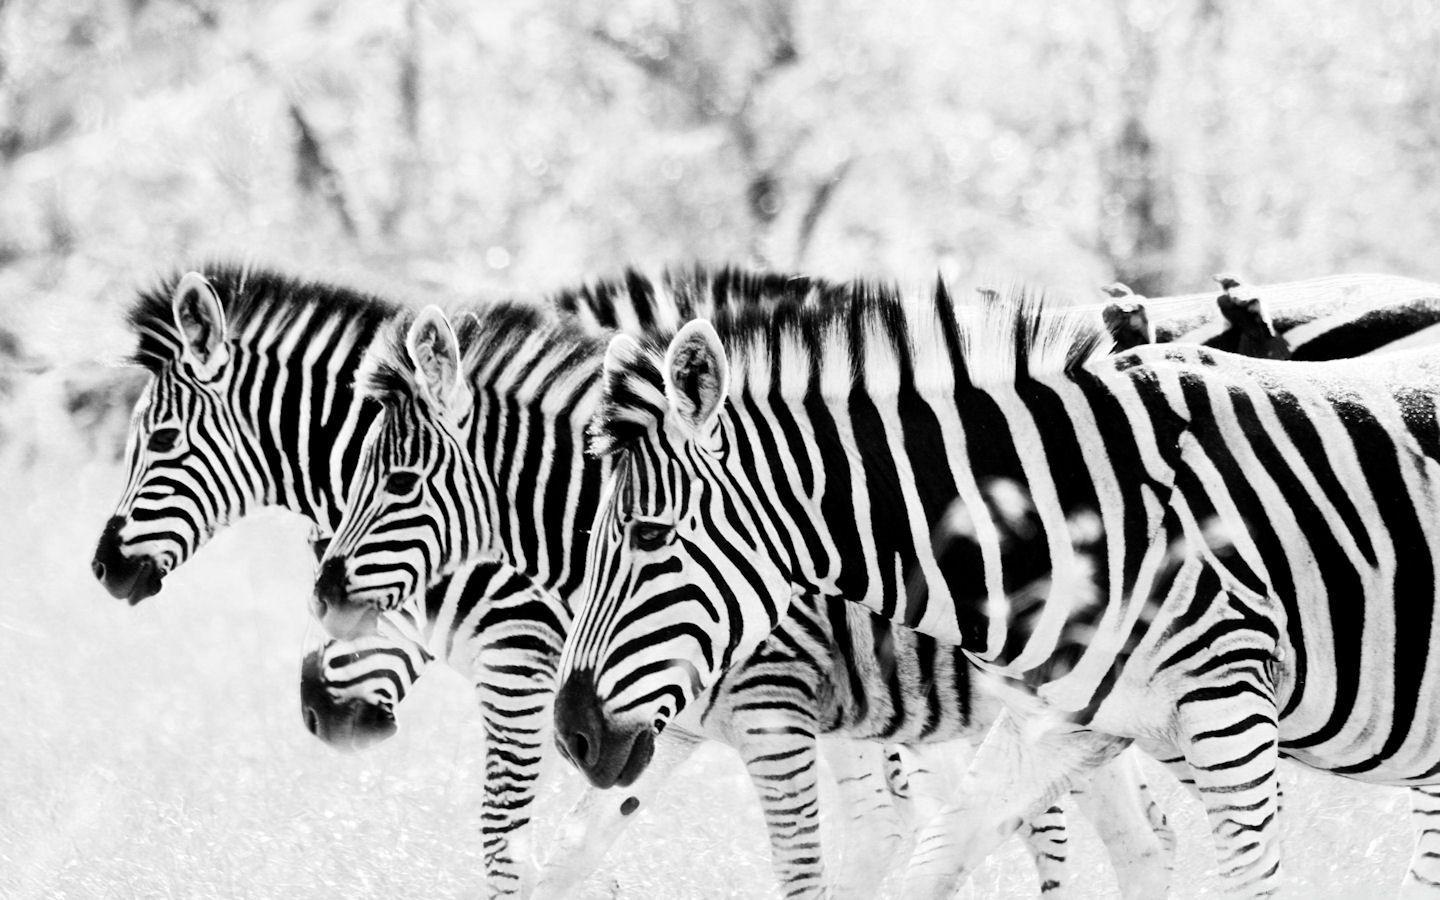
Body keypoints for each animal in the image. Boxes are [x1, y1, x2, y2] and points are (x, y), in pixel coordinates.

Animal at [308, 296, 1179, 897]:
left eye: (397, 483)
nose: (323, 597)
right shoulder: (670, 729)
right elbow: (569, 854)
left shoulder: (779, 712)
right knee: (1140, 843)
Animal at [553, 274, 1440, 896]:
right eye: (594, 536)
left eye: (649, 536)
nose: (572, 735)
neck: (1077, 512)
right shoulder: (1059, 725)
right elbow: (934, 862)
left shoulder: (1228, 706)